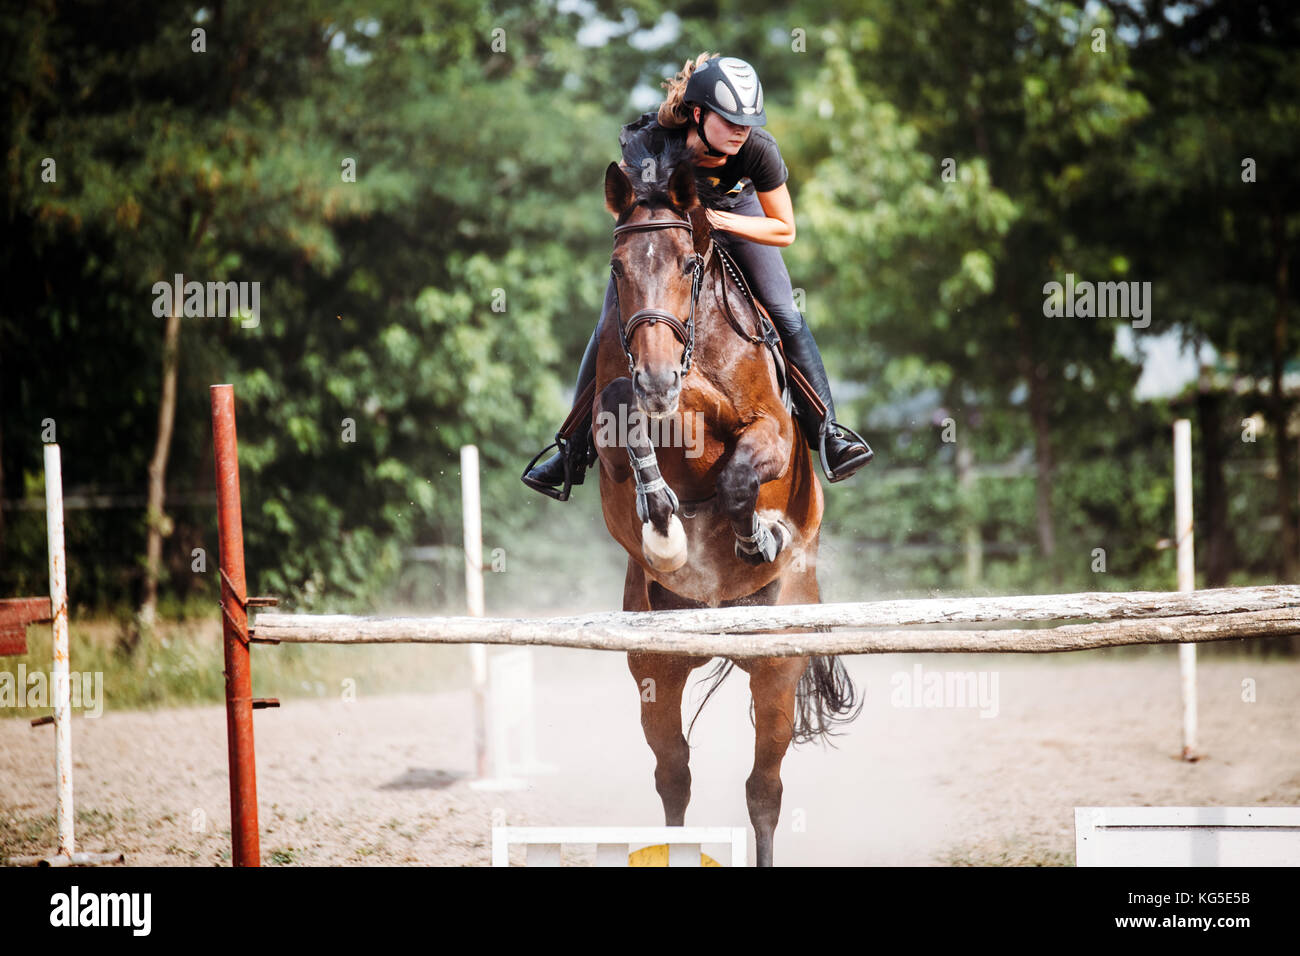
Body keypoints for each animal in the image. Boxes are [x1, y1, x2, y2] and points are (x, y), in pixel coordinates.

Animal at [589, 141, 861, 866]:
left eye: (689, 264)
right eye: (618, 269)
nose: (658, 379)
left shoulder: (774, 433)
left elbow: (741, 477)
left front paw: (755, 536)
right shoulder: (613, 434)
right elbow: (622, 423)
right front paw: (663, 525)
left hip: (776, 664)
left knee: (763, 788)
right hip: (655, 666)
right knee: (674, 773)